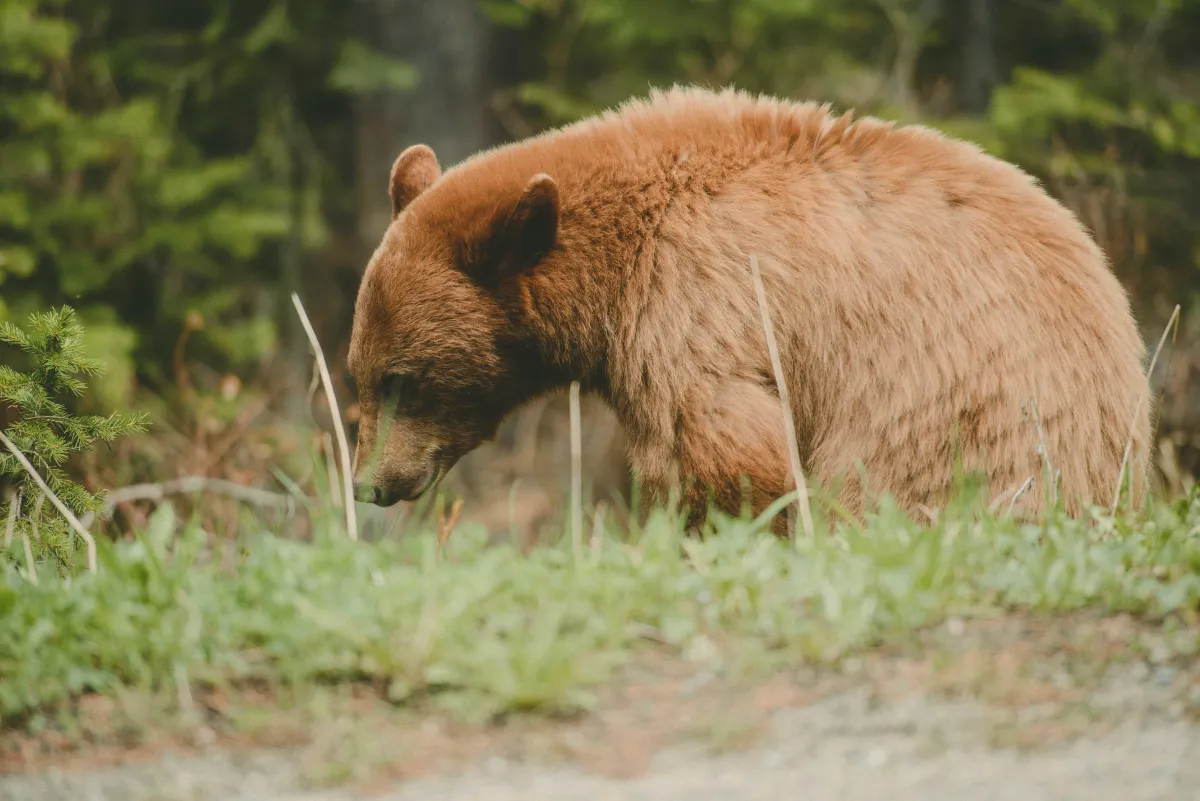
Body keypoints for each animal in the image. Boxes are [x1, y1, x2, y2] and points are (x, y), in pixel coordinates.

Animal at [345, 85, 1152, 530]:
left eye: (403, 378)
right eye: (358, 374)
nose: (369, 483)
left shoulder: (694, 299)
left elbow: (722, 449)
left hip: (951, 413)